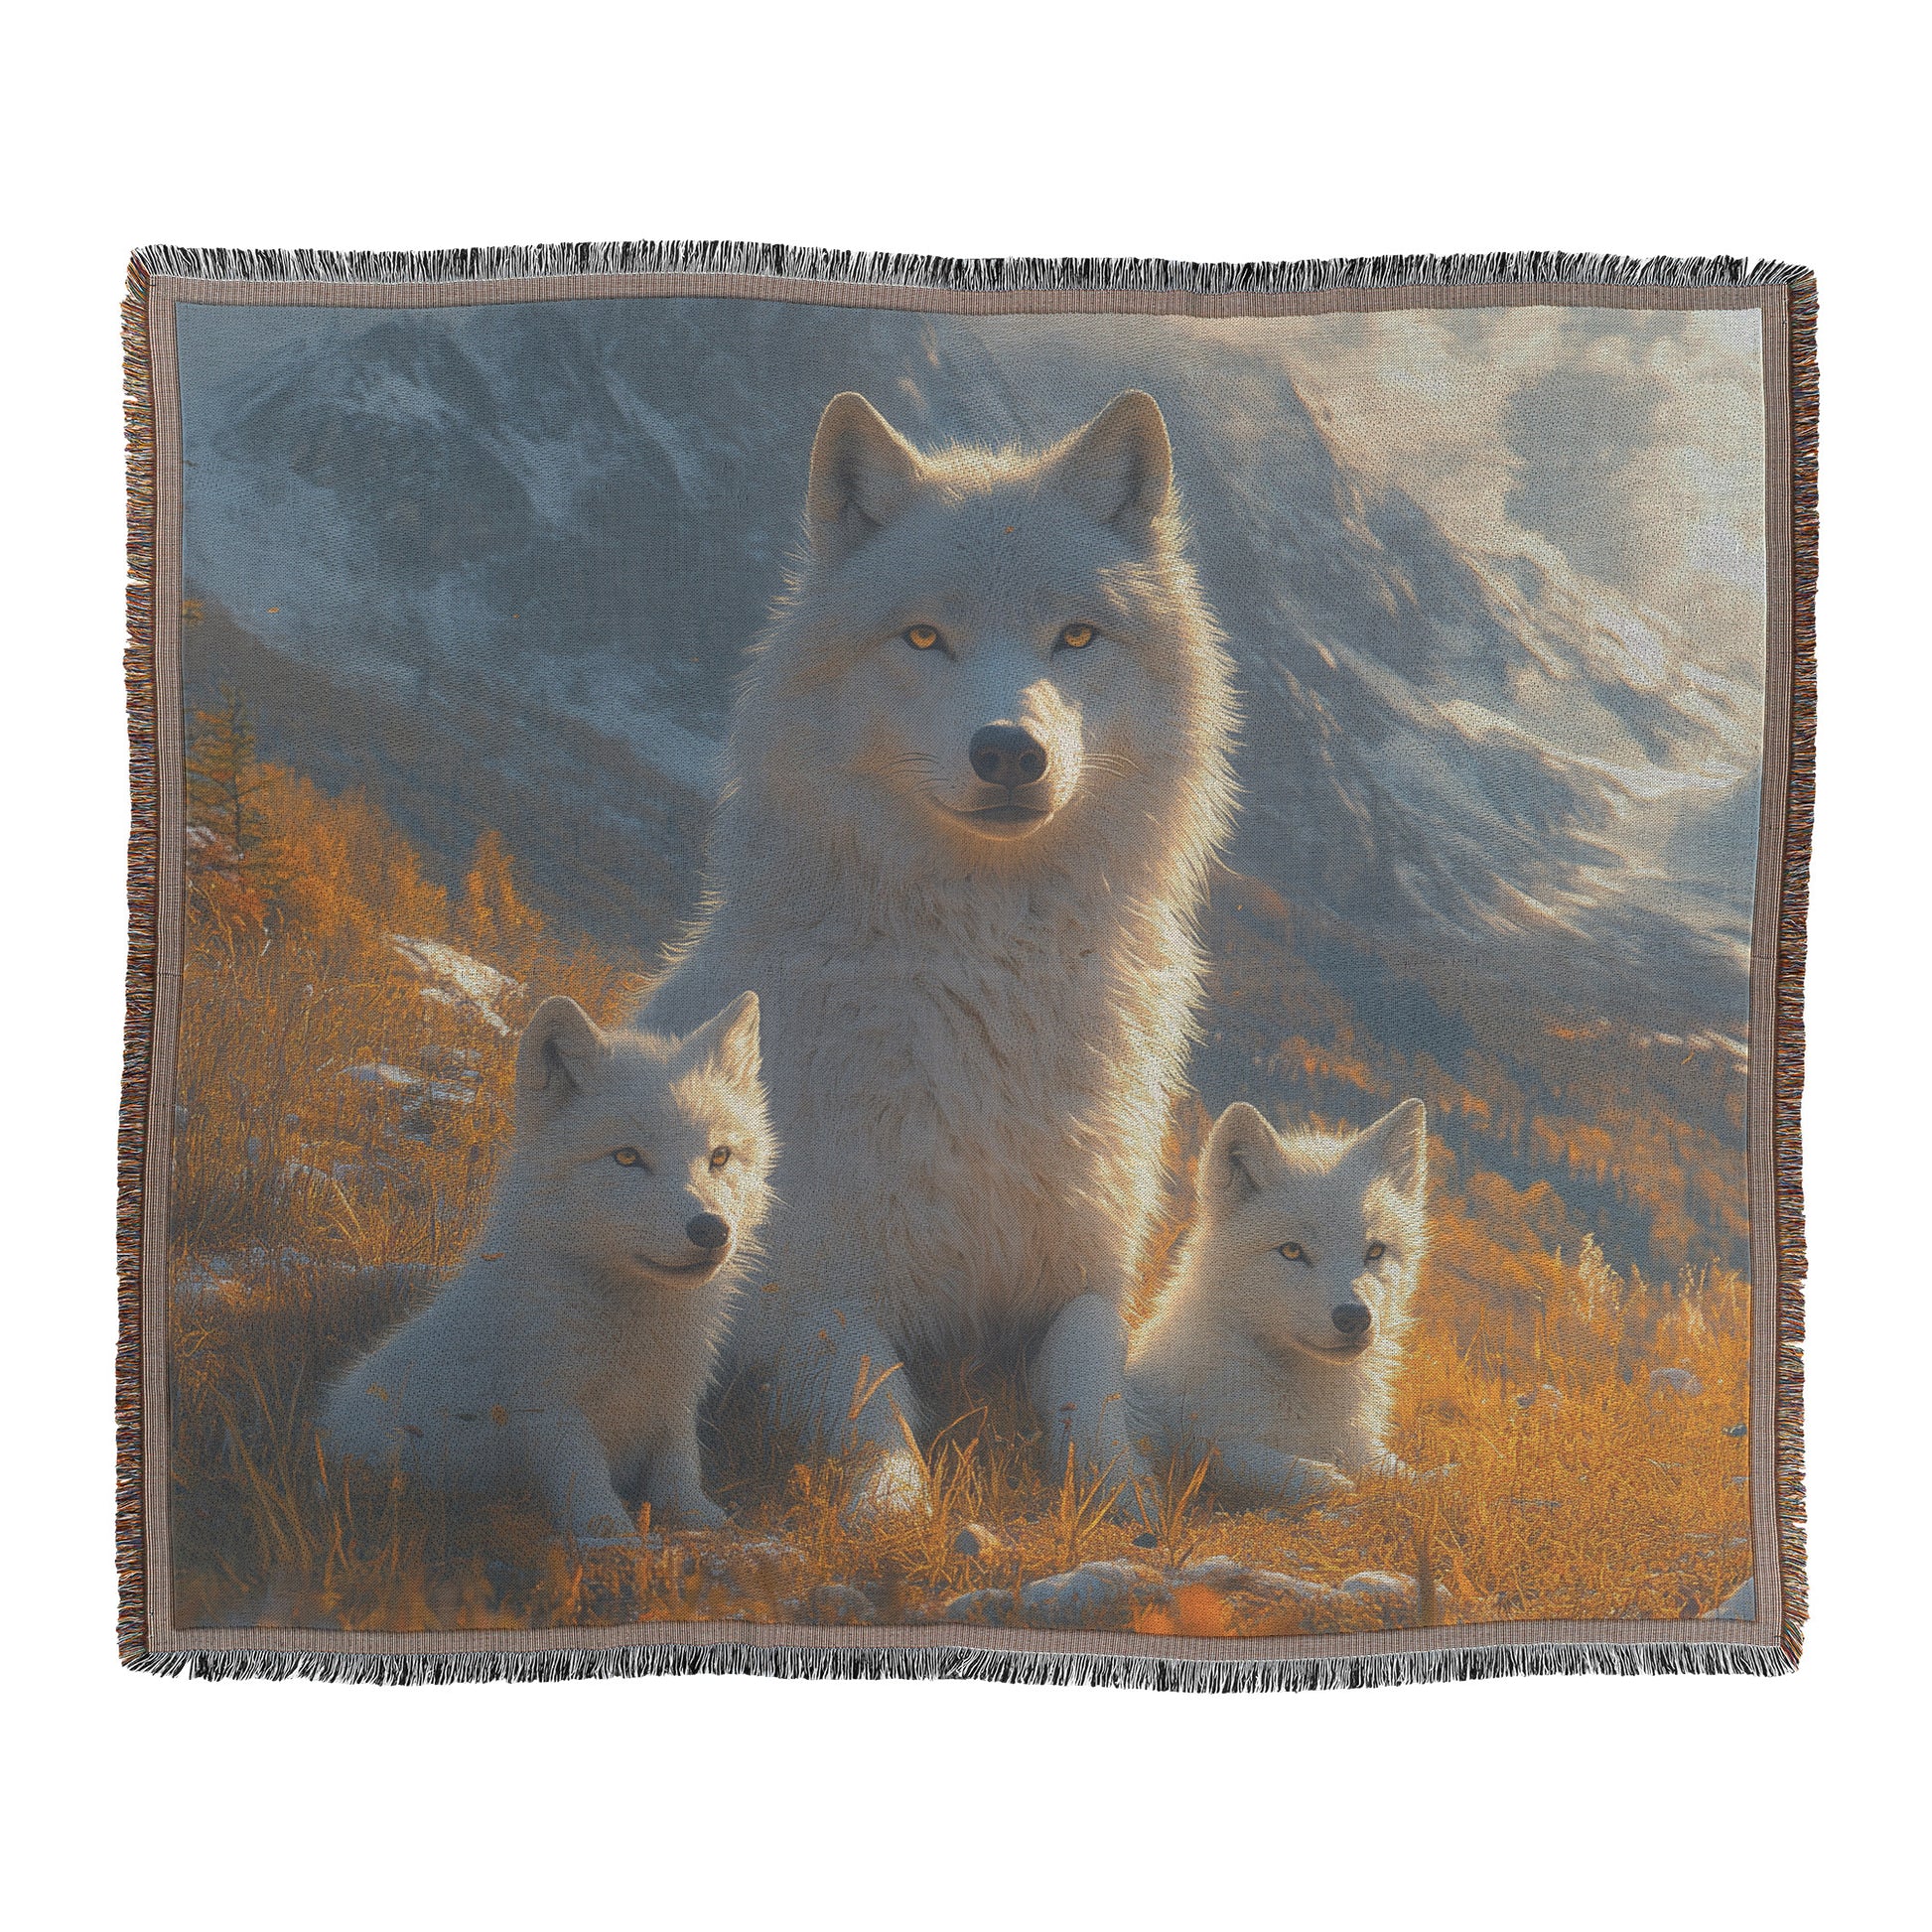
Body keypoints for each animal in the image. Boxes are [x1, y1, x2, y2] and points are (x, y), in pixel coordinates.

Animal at [319, 991, 772, 1537]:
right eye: (626, 1158)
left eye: (719, 1157)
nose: (711, 1230)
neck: (632, 1323)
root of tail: (325, 1425)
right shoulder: (551, 1408)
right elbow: (587, 1487)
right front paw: (611, 1539)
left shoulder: (674, 1399)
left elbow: (680, 1474)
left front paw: (702, 1523)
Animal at [638, 387, 1239, 1513]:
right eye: (923, 636)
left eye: (1075, 634)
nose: (1009, 751)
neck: (989, 976)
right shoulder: (813, 1293)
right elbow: (877, 1409)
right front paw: (895, 1512)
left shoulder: (1085, 1270)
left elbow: (1092, 1396)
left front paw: (1133, 1509)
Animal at [1127, 1098, 1428, 1503]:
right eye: (1291, 1251)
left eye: (1375, 1251)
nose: (1354, 1317)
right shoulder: (1198, 1441)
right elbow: (1303, 1474)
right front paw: (1342, 1487)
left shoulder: (1362, 1446)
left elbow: (1407, 1474)